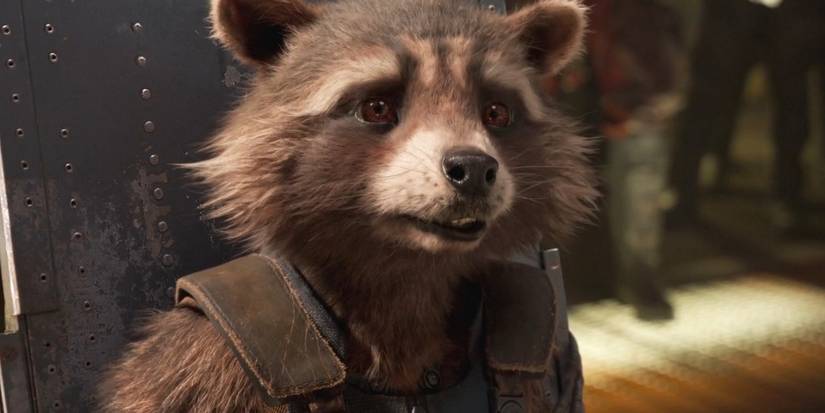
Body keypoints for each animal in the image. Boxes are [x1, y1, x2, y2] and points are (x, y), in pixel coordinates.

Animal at [100, 0, 596, 411]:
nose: (474, 168)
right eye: (377, 107)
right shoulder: (198, 360)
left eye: (496, 113)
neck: (408, 265)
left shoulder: (555, 353)